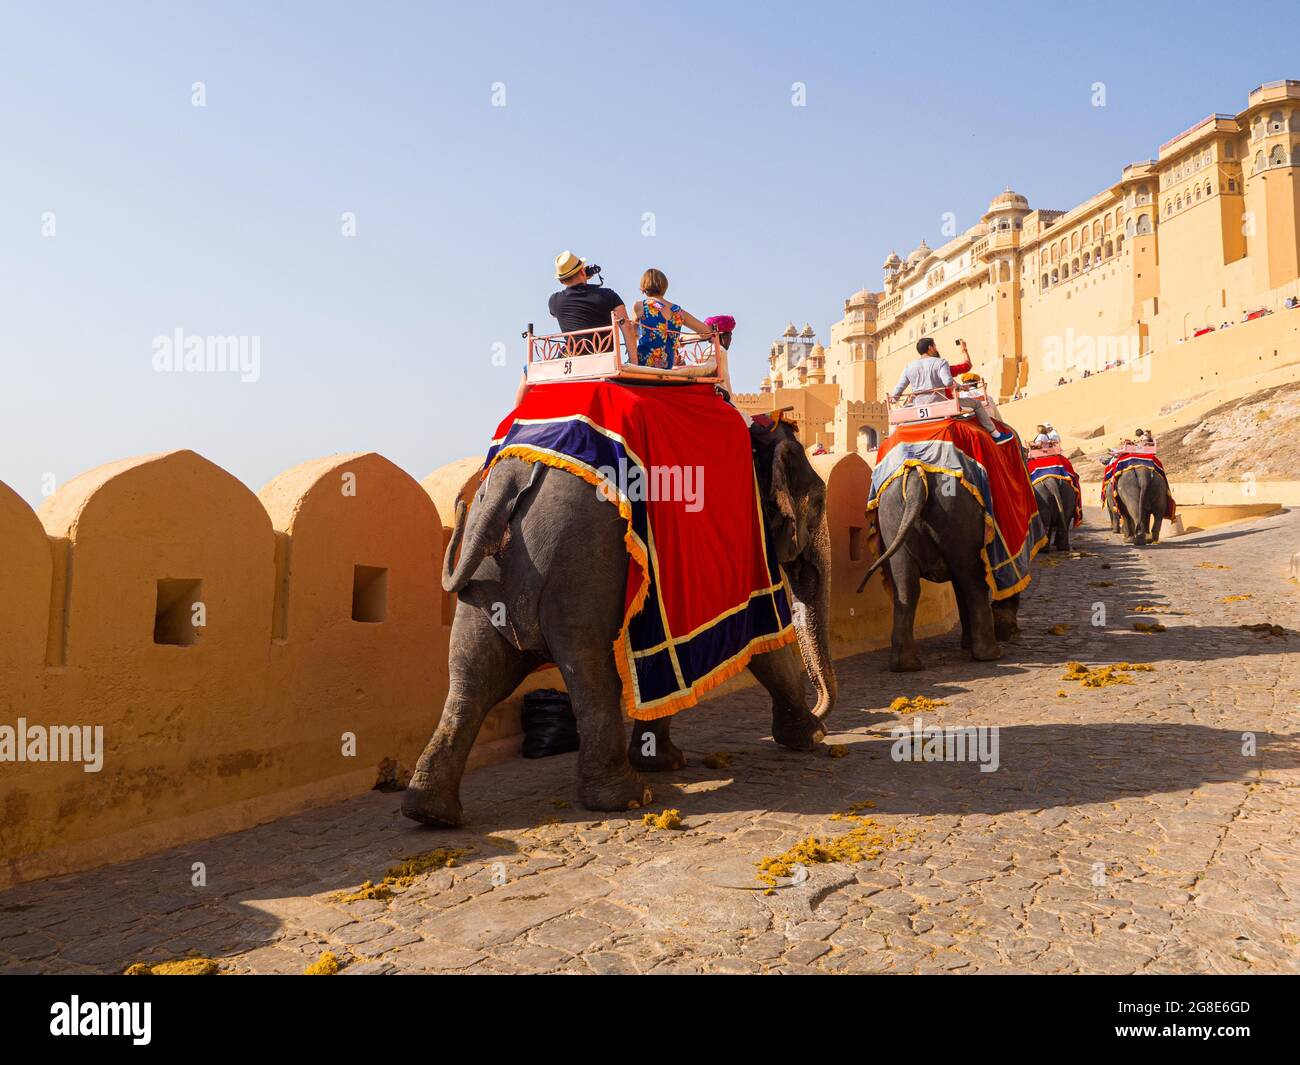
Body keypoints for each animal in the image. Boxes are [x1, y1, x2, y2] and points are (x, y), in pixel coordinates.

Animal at [401, 417, 836, 827]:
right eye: (818, 502)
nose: (821, 709)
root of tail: (509, 482)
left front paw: (665, 761)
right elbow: (766, 639)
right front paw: (811, 737)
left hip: (486, 579)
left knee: (473, 677)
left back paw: (431, 813)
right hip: (579, 565)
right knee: (590, 672)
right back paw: (627, 798)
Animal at [857, 468, 1020, 672]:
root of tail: (916, 476)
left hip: (892, 517)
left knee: (906, 586)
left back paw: (905, 664)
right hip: (959, 518)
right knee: (973, 582)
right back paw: (990, 654)